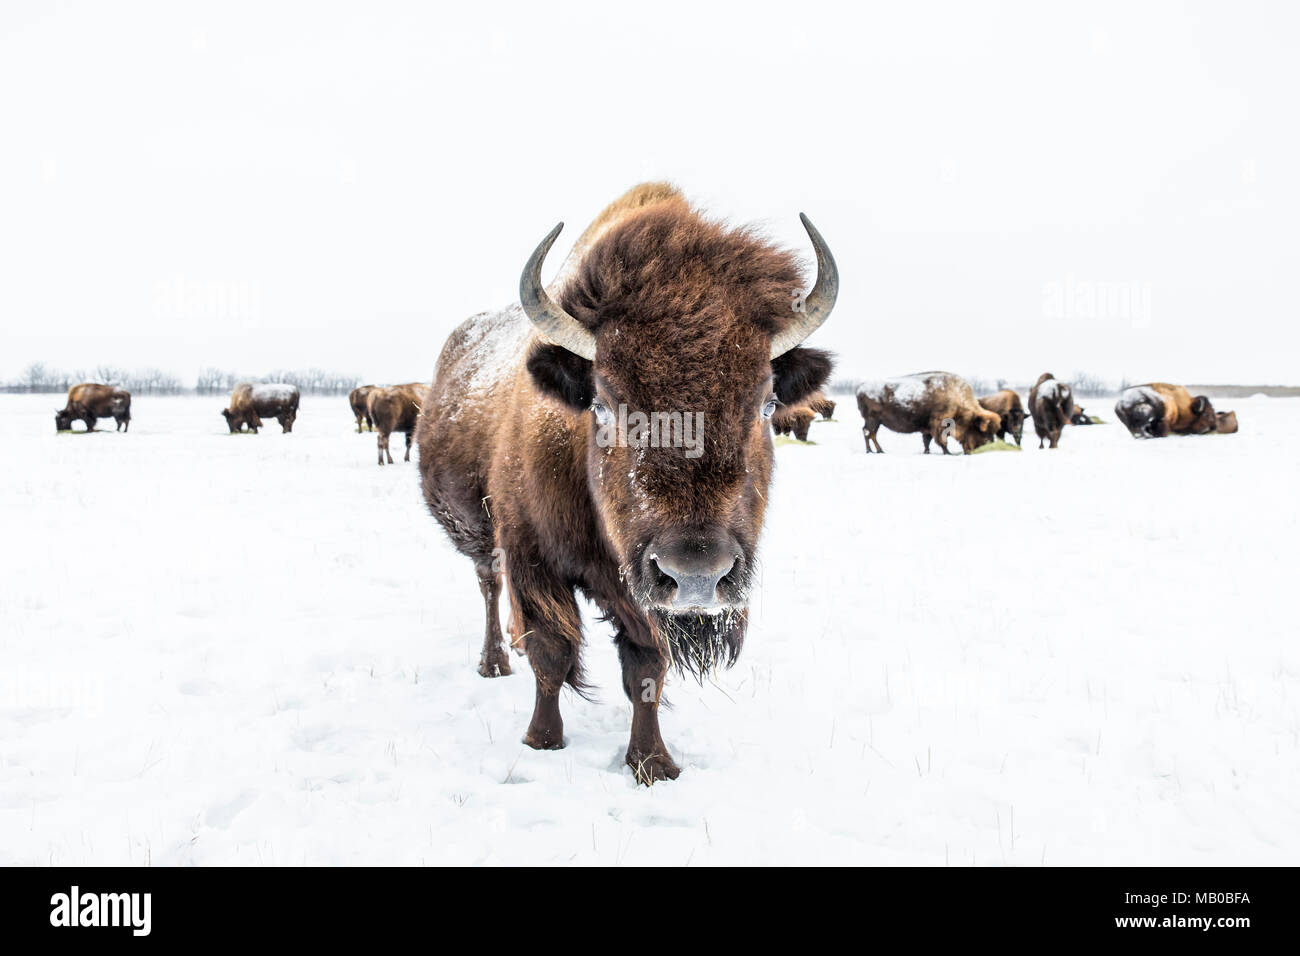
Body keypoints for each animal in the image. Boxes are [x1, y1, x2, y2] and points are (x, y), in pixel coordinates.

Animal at [415, 183, 837, 783]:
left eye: (766, 401)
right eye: (605, 402)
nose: (697, 574)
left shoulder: (643, 598)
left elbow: (645, 671)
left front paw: (653, 764)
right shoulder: (531, 557)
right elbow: (552, 654)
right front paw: (542, 741)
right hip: (477, 534)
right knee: (489, 587)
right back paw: (495, 661)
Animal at [856, 372, 1000, 454]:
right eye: (983, 431)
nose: (987, 445)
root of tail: (860, 388)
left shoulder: (927, 428)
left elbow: (927, 440)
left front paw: (927, 451)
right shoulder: (938, 425)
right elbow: (941, 440)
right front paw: (947, 452)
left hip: (876, 422)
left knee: (871, 434)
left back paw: (878, 450)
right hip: (873, 420)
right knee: (868, 433)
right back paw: (872, 451)